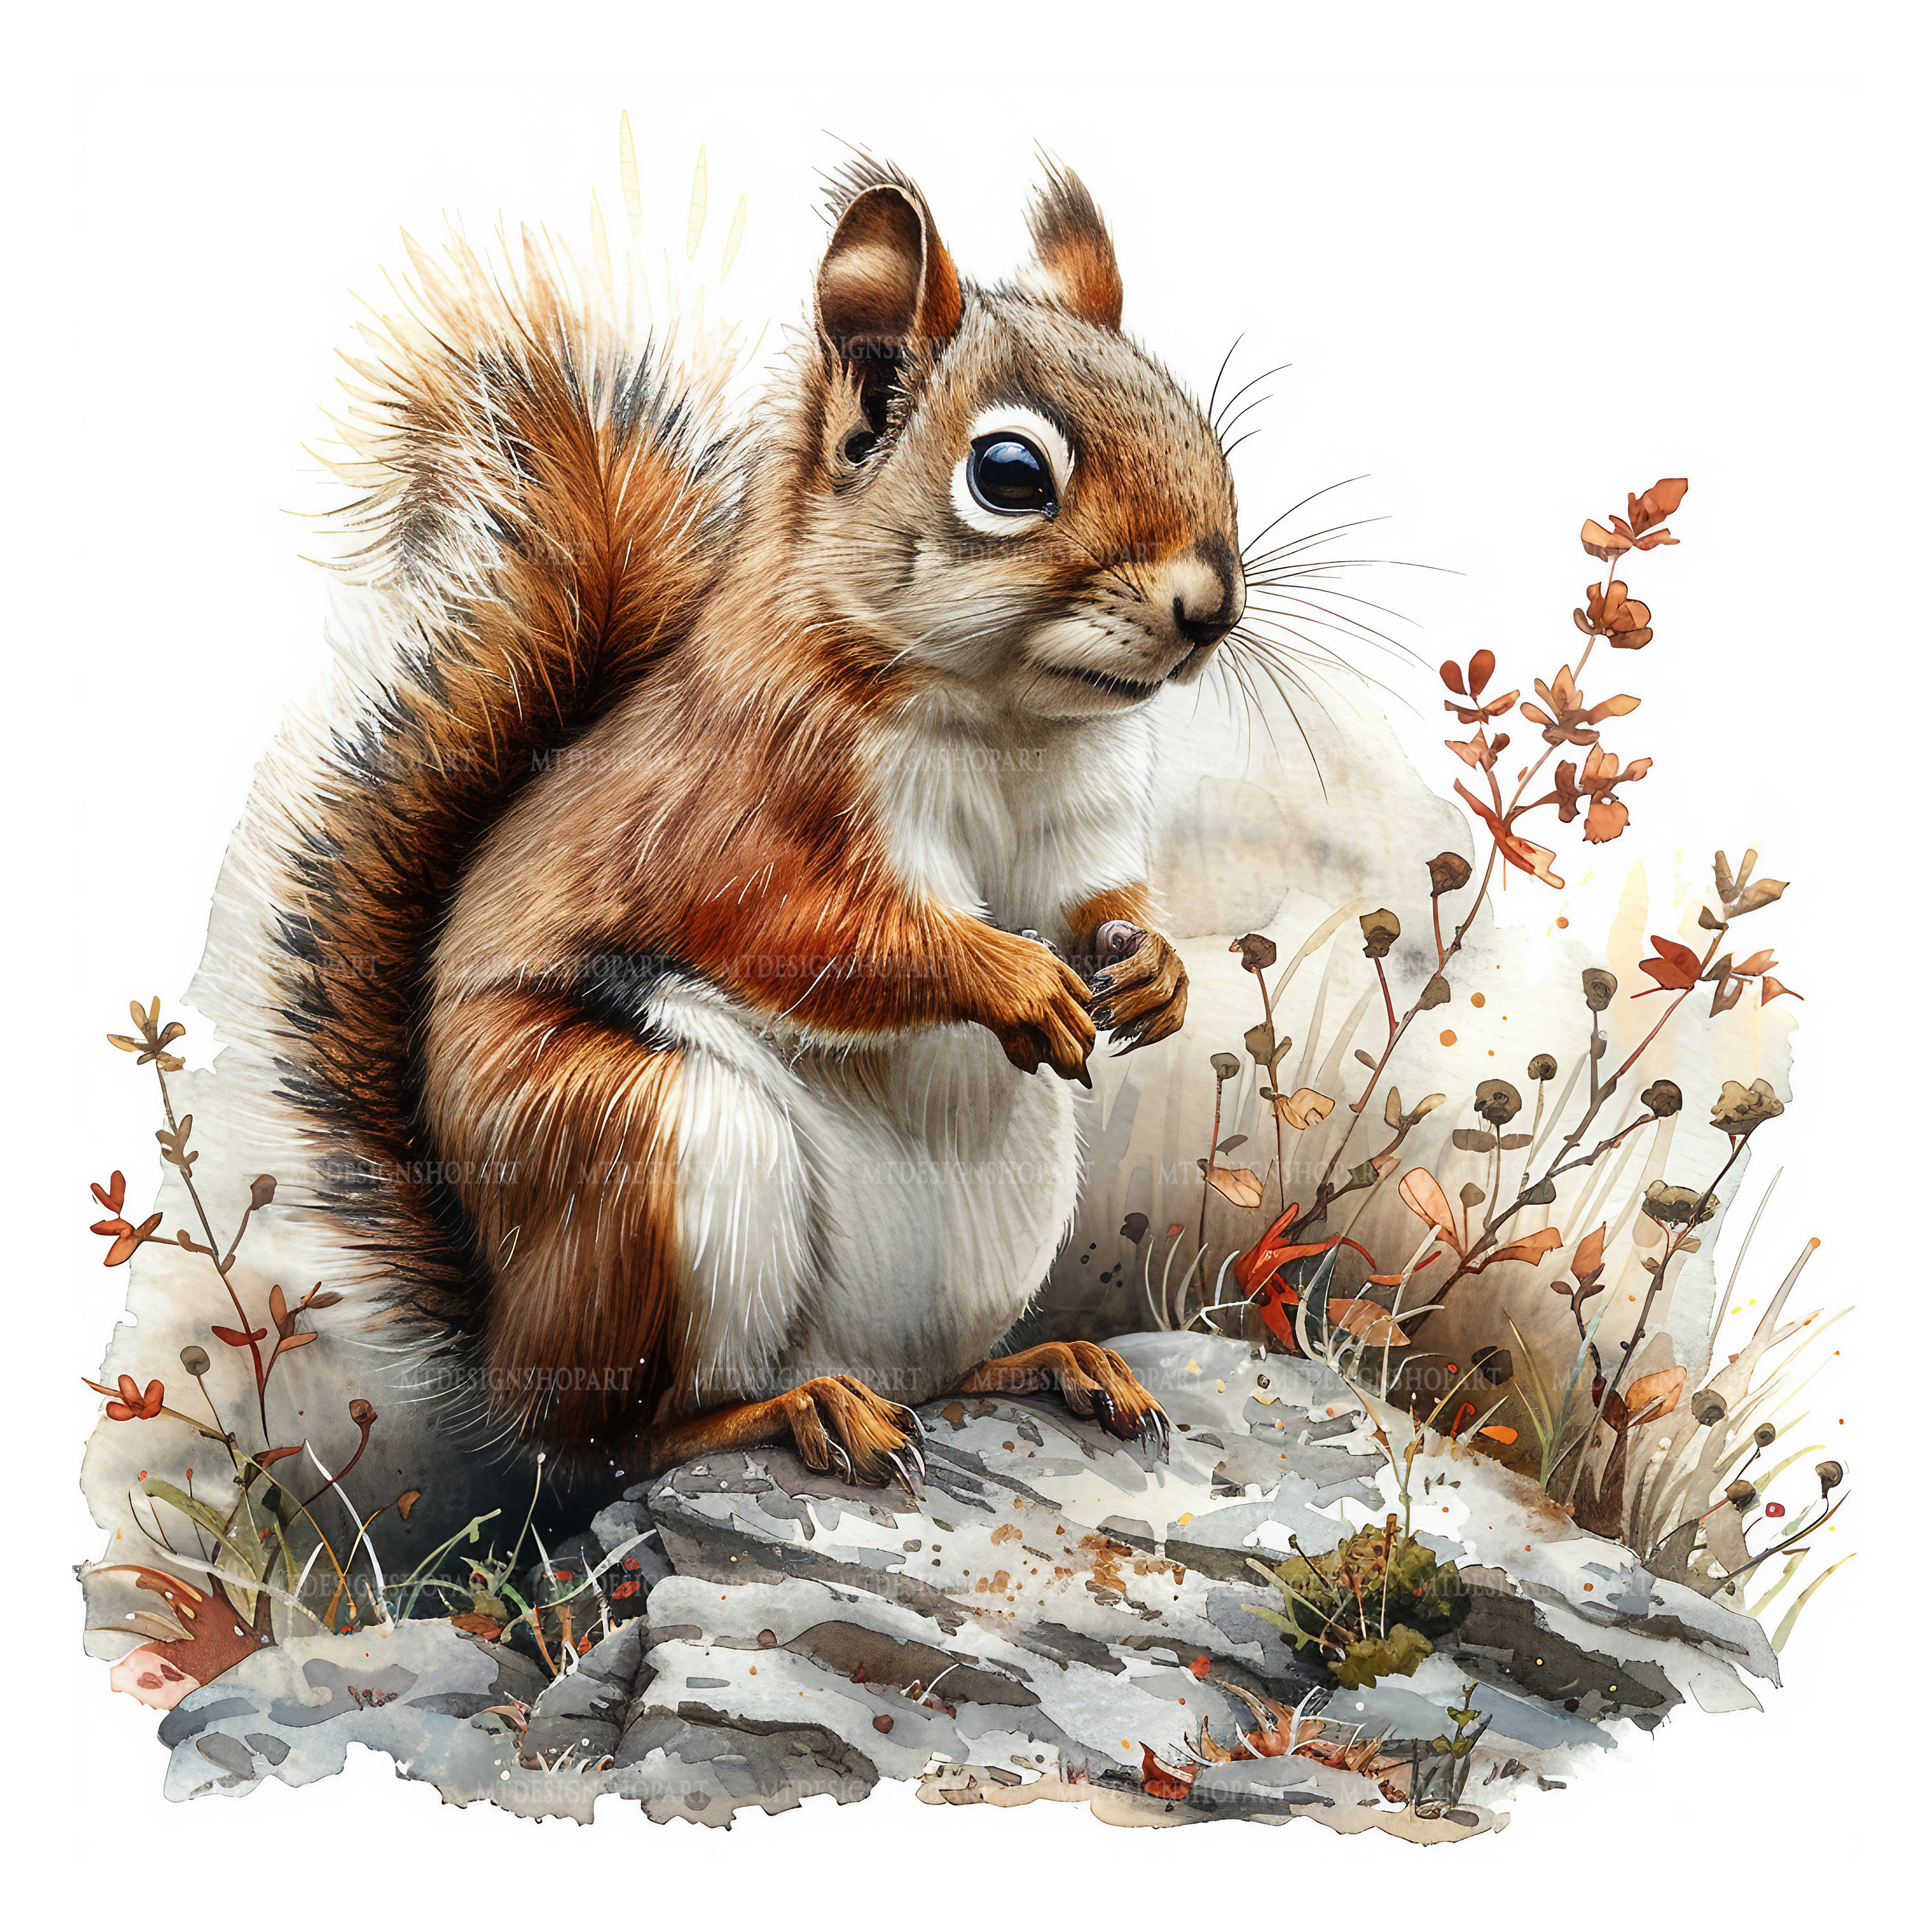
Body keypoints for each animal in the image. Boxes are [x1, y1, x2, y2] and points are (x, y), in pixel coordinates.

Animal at [253, 158, 1245, 1487]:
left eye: (1199, 424)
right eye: (1011, 475)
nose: (1213, 605)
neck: (1006, 719)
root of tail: (507, 1351)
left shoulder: (1081, 814)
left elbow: (1095, 902)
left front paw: (1154, 974)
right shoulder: (735, 810)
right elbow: (814, 937)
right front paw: (1012, 979)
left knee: (928, 1381)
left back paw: (1051, 1365)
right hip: (646, 1151)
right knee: (629, 1437)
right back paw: (795, 1411)